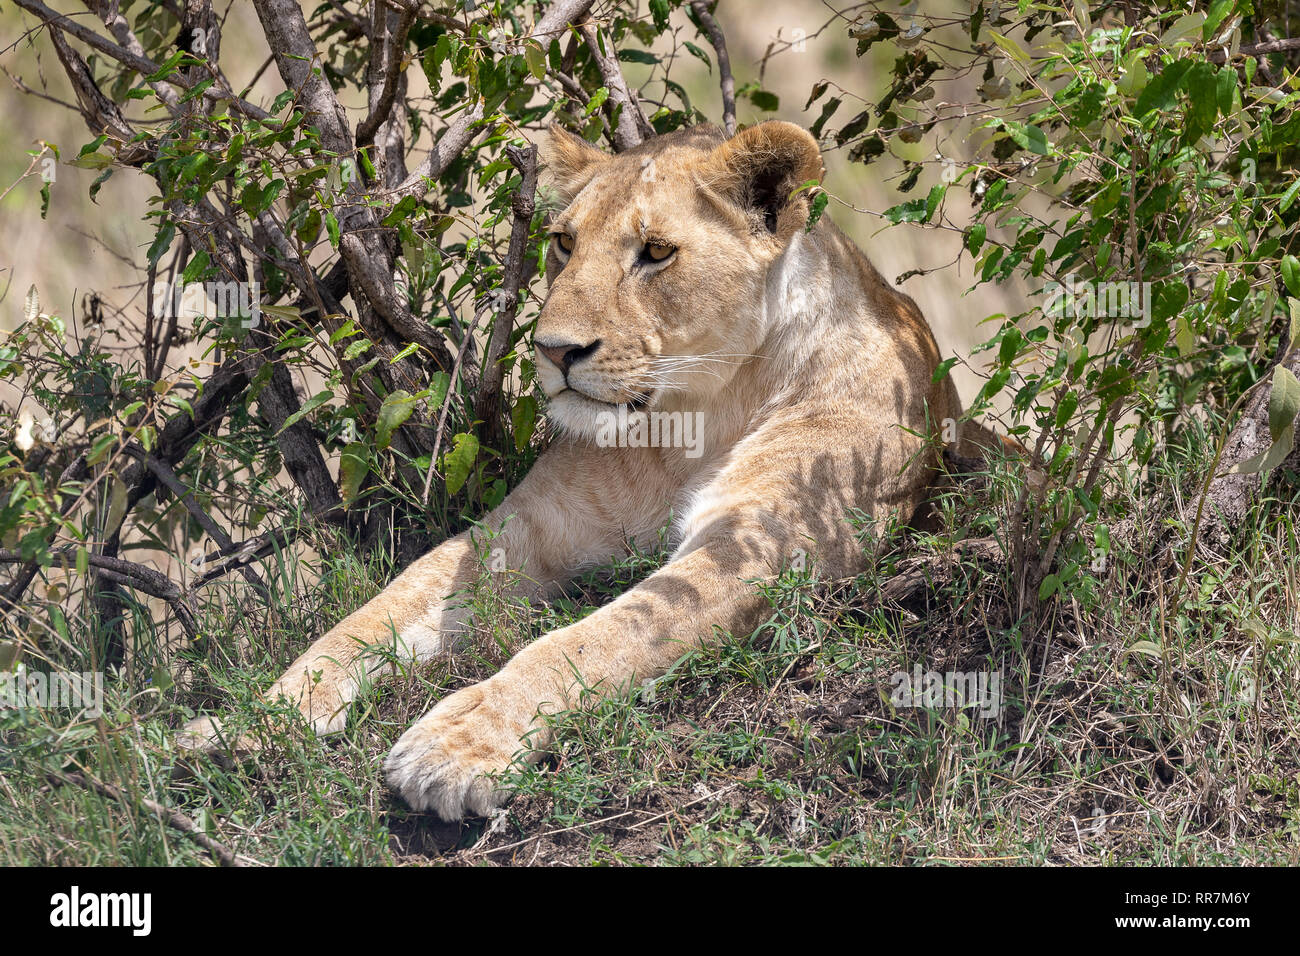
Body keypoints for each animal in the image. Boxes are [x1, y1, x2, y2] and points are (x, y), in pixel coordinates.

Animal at [181, 120, 995, 820]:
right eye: (563, 242)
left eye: (656, 253)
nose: (554, 351)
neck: (694, 419)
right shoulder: (522, 528)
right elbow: (368, 616)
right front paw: (253, 723)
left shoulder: (763, 540)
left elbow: (597, 638)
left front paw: (457, 747)